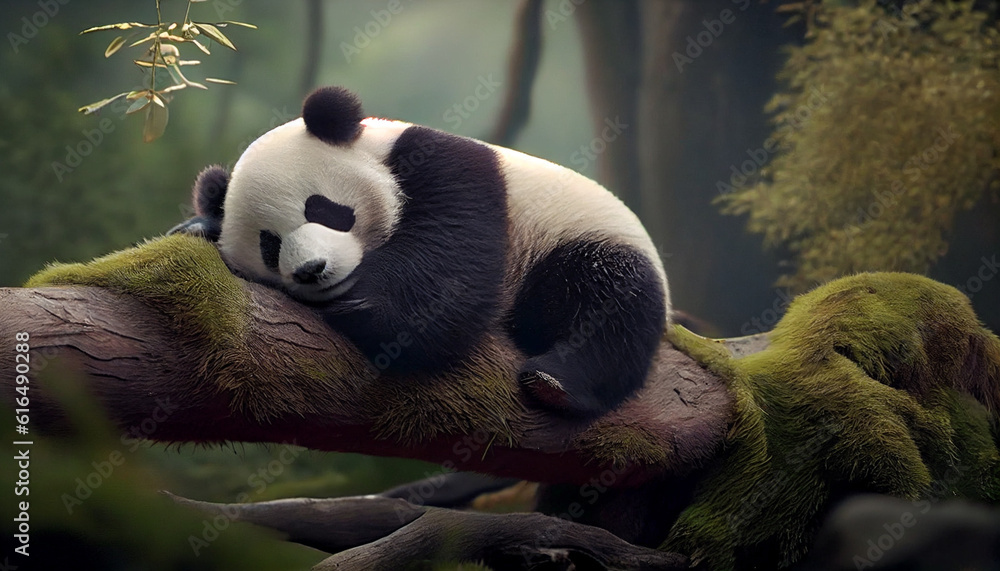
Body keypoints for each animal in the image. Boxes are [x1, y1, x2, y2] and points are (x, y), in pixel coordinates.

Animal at [171, 86, 669, 418]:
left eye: (324, 210)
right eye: (269, 245)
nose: (311, 270)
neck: (380, 147)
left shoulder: (448, 169)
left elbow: (450, 255)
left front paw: (367, 305)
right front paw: (200, 226)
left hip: (573, 237)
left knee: (610, 299)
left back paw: (556, 381)